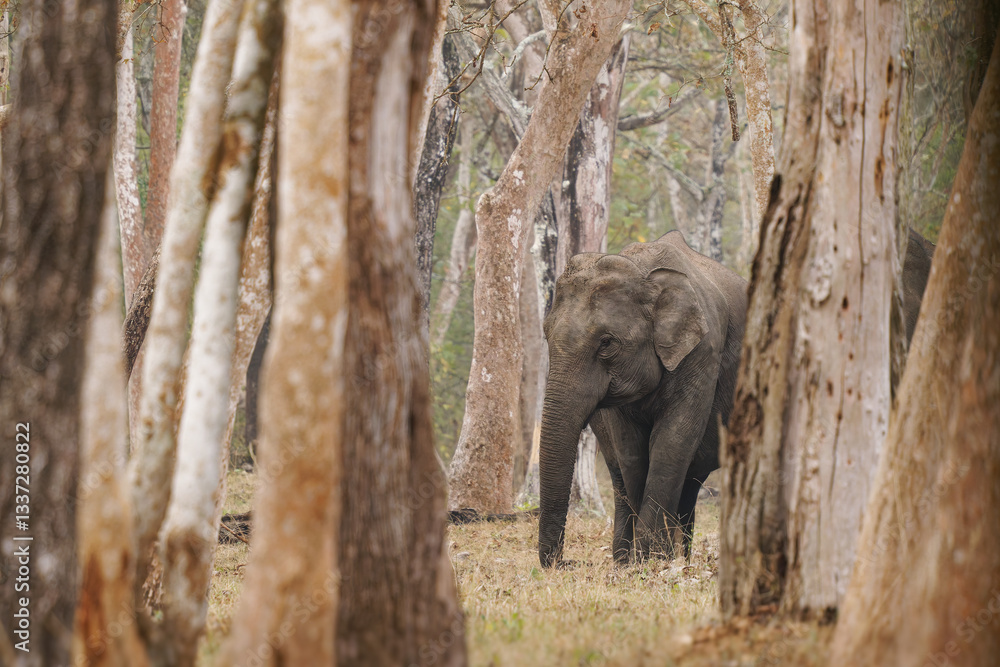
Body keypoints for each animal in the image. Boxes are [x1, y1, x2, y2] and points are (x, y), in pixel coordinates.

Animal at [536, 228, 936, 568]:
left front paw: (650, 564)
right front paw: (641, 565)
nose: (564, 564)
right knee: (630, 476)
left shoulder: (703, 351)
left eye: (607, 343)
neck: (645, 272)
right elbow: (632, 449)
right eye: (545, 333)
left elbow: (672, 440)